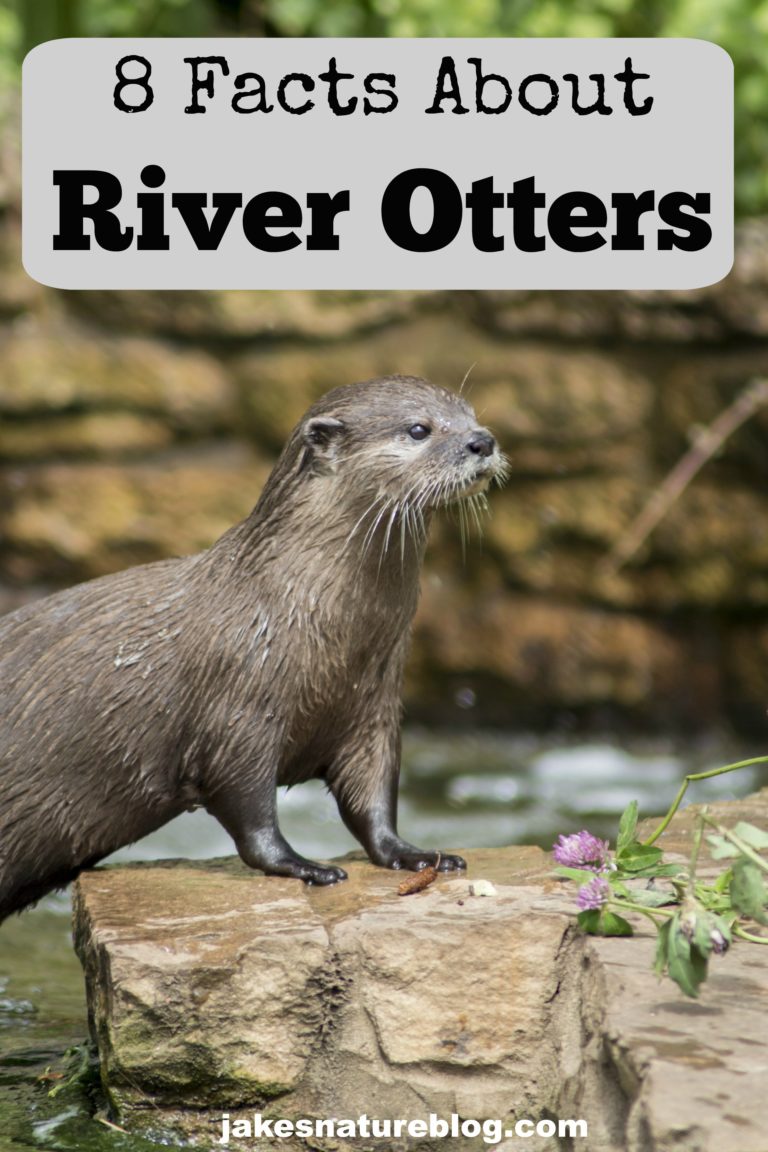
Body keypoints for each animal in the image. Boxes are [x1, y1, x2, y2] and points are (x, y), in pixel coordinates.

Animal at [0, 376, 505, 919]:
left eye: (472, 414)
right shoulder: (239, 706)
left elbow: (372, 795)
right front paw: (305, 867)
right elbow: (249, 809)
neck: (291, 612)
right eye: (418, 429)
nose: (483, 441)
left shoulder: (374, 706)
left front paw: (415, 854)